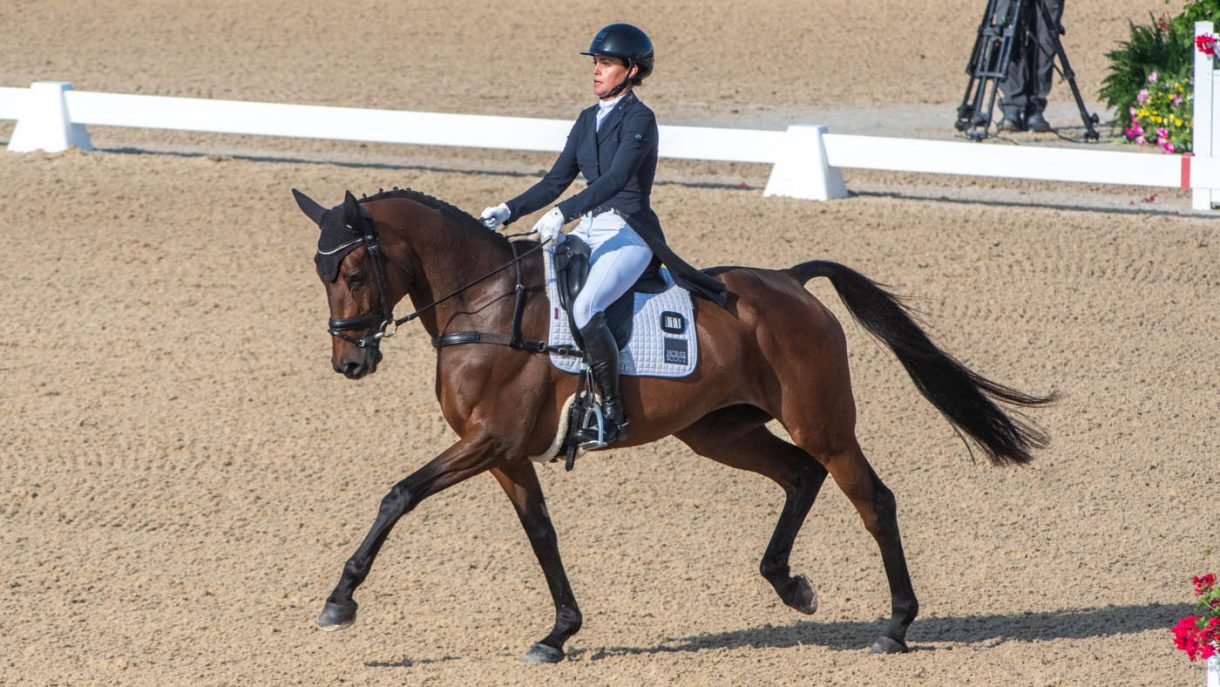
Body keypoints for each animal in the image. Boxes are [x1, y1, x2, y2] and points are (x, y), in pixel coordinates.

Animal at [292, 187, 1053, 663]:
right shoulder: (507, 454)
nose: (350, 361)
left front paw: (340, 600)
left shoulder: (490, 442)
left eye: (353, 271)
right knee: (800, 477)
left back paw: (894, 625)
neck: (485, 303)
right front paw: (559, 633)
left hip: (822, 424)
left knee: (872, 499)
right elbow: (542, 534)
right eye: (321, 274)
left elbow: (399, 494)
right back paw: (790, 584)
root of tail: (791, 280)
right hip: (720, 430)